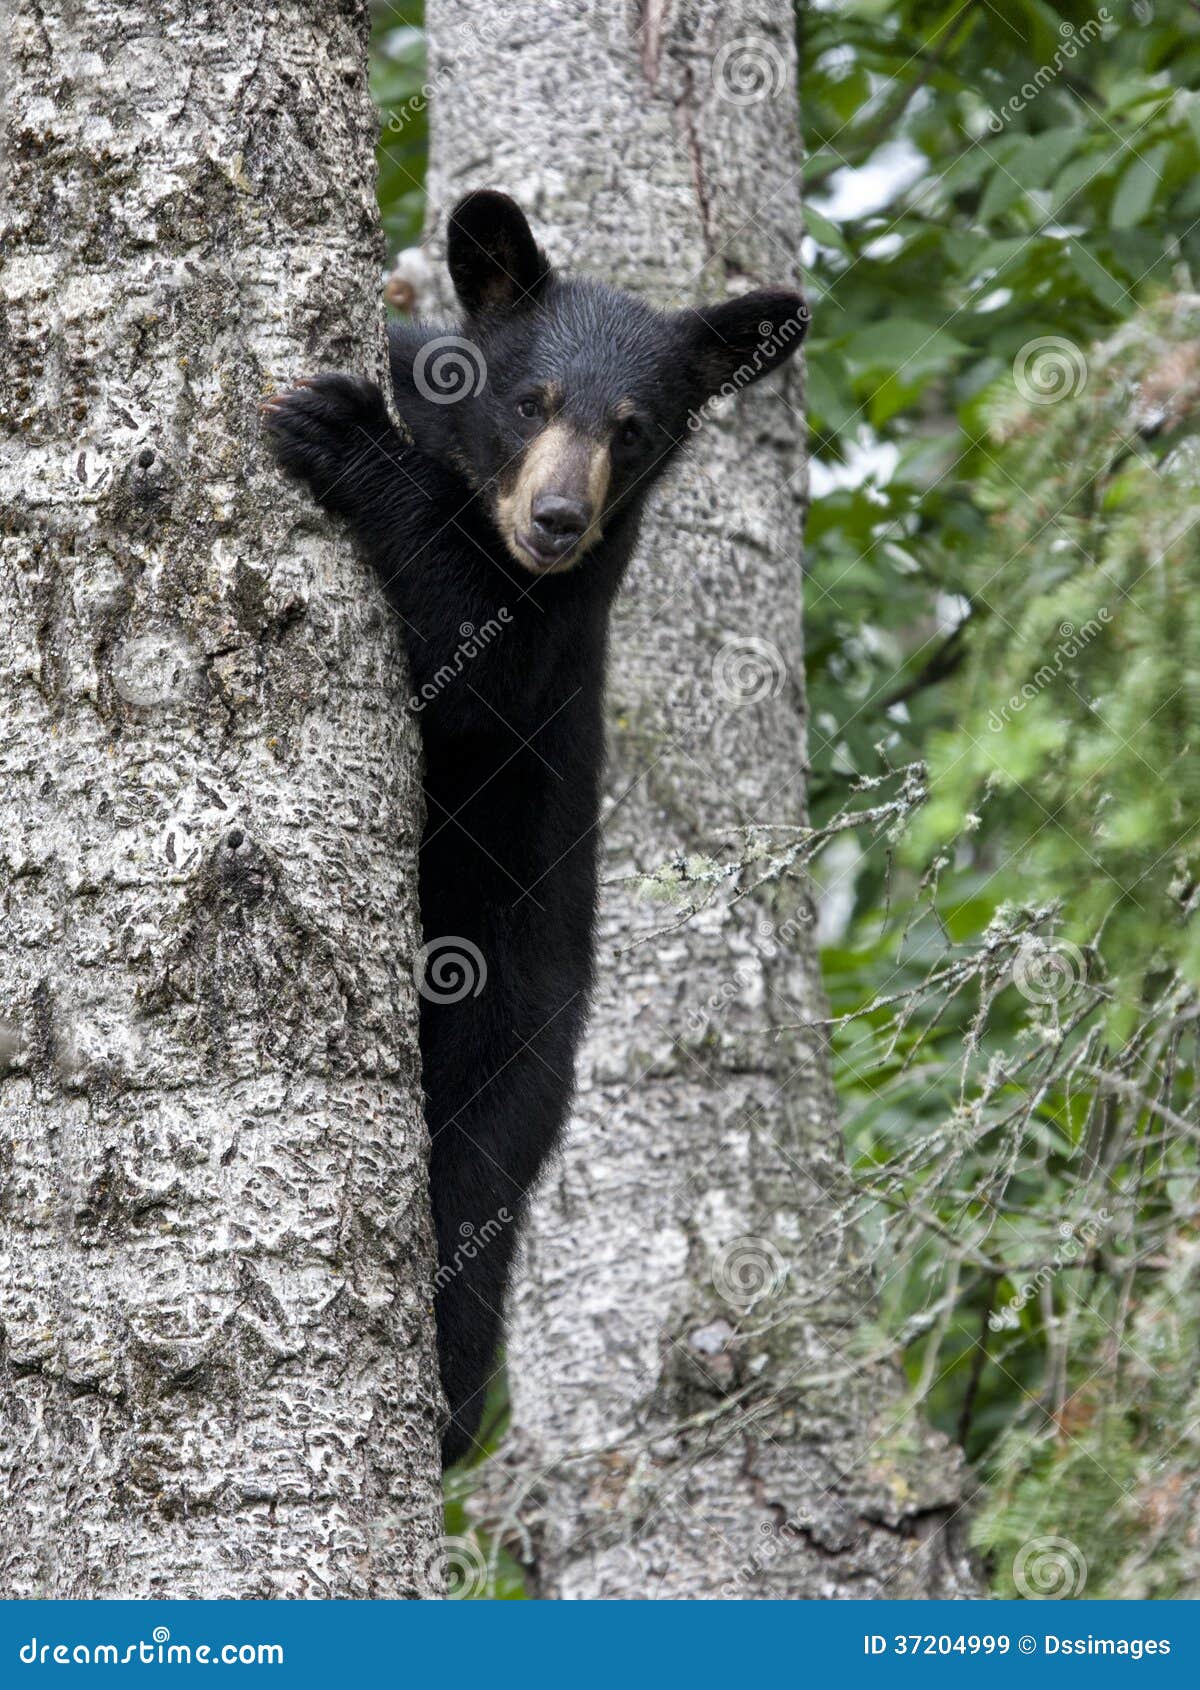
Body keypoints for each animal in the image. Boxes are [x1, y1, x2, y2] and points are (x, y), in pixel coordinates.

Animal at [264, 190, 808, 1467]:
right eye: (531, 400)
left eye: (636, 428)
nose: (558, 517)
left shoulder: (557, 628)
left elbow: (470, 660)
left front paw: (338, 430)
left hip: (506, 1043)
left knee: (472, 1199)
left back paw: (451, 1410)